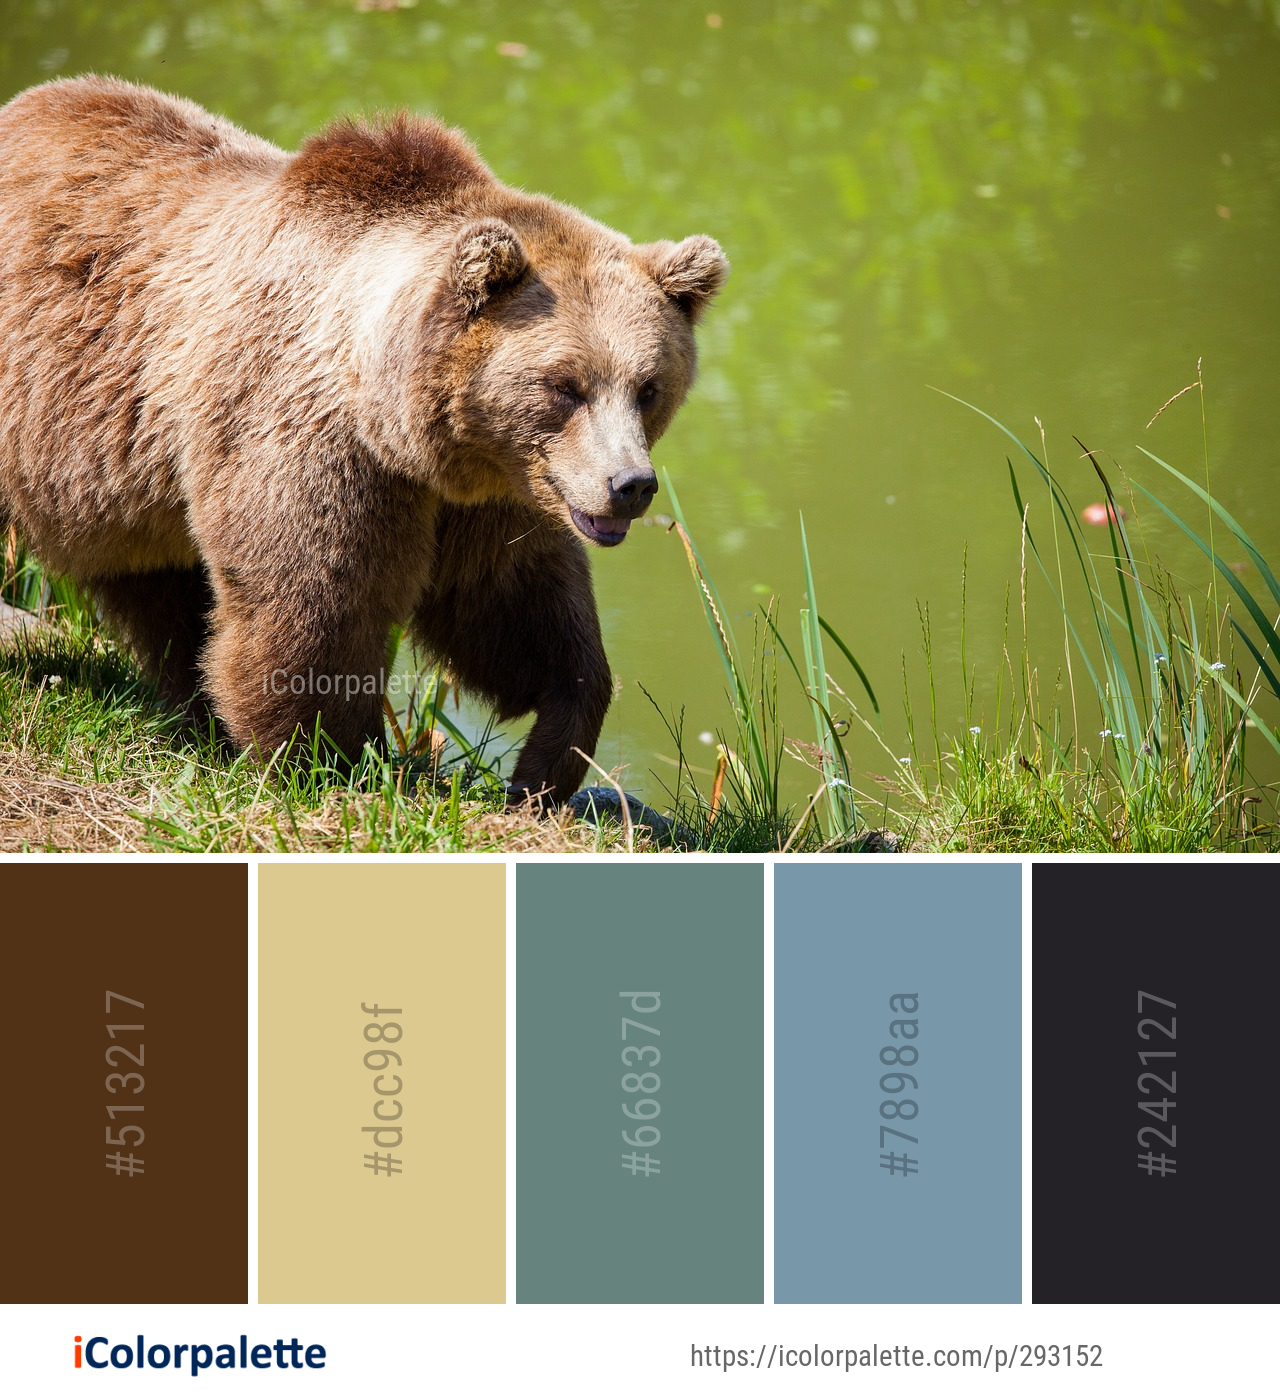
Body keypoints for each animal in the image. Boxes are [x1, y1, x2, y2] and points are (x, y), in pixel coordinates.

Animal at [0, 76, 727, 805]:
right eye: (565, 386)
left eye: (648, 387)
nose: (630, 485)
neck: (400, 421)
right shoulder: (310, 438)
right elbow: (315, 604)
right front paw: (334, 760)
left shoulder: (491, 490)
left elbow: (513, 604)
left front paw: (547, 760)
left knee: (156, 584)